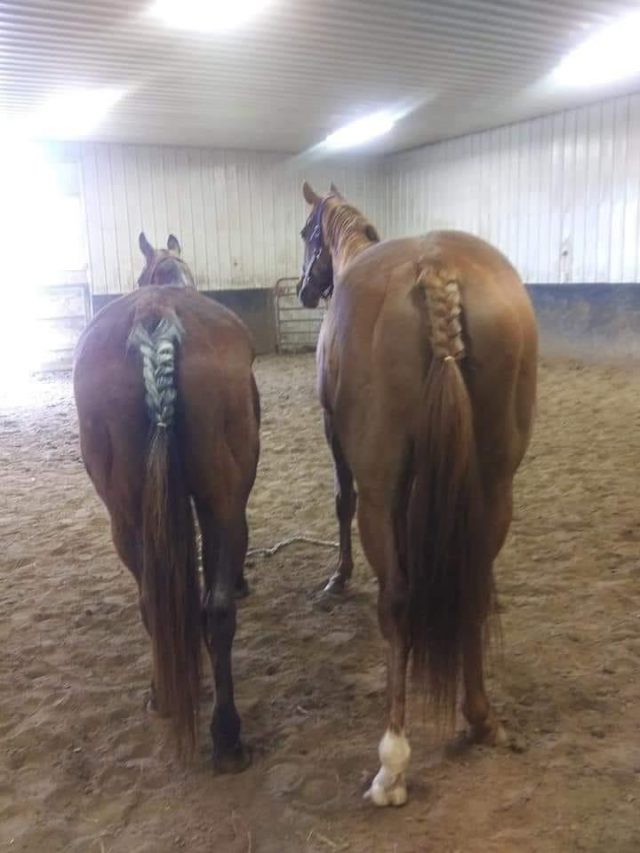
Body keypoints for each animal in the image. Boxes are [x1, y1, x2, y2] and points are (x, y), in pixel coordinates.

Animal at [73, 232, 260, 771]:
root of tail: (155, 316)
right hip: (216, 504)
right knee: (208, 609)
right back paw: (222, 732)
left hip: (130, 517)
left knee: (163, 603)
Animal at [297, 182, 537, 806]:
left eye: (308, 233)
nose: (305, 288)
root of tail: (437, 267)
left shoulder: (337, 440)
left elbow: (340, 501)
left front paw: (338, 578)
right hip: (495, 487)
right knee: (473, 583)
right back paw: (481, 719)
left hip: (381, 492)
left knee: (398, 604)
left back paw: (393, 762)